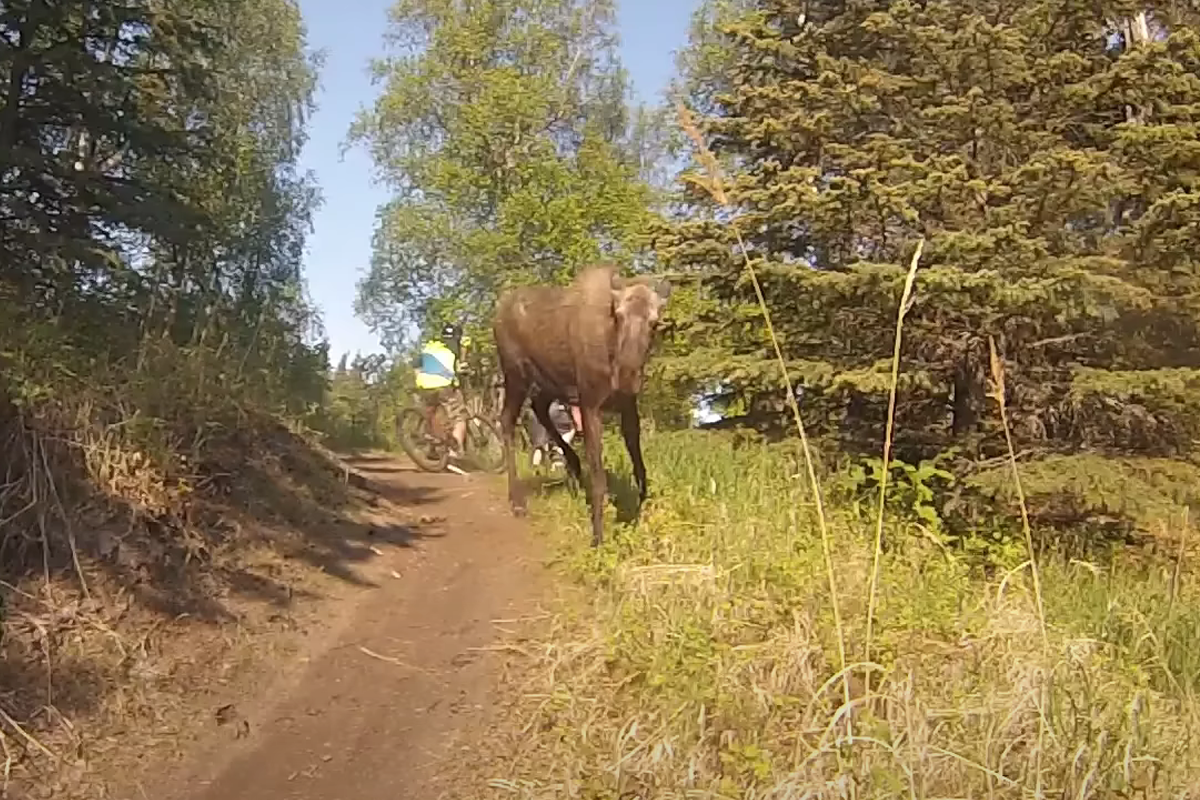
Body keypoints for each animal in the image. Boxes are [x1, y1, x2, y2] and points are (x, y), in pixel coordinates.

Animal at [492, 264, 672, 546]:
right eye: (618, 316)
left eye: (654, 323)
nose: (626, 376)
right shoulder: (590, 405)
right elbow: (599, 478)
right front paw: (598, 535)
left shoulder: (627, 406)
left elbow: (640, 468)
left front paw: (639, 514)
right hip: (516, 375)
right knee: (507, 420)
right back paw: (517, 500)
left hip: (547, 383)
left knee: (539, 407)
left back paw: (573, 467)